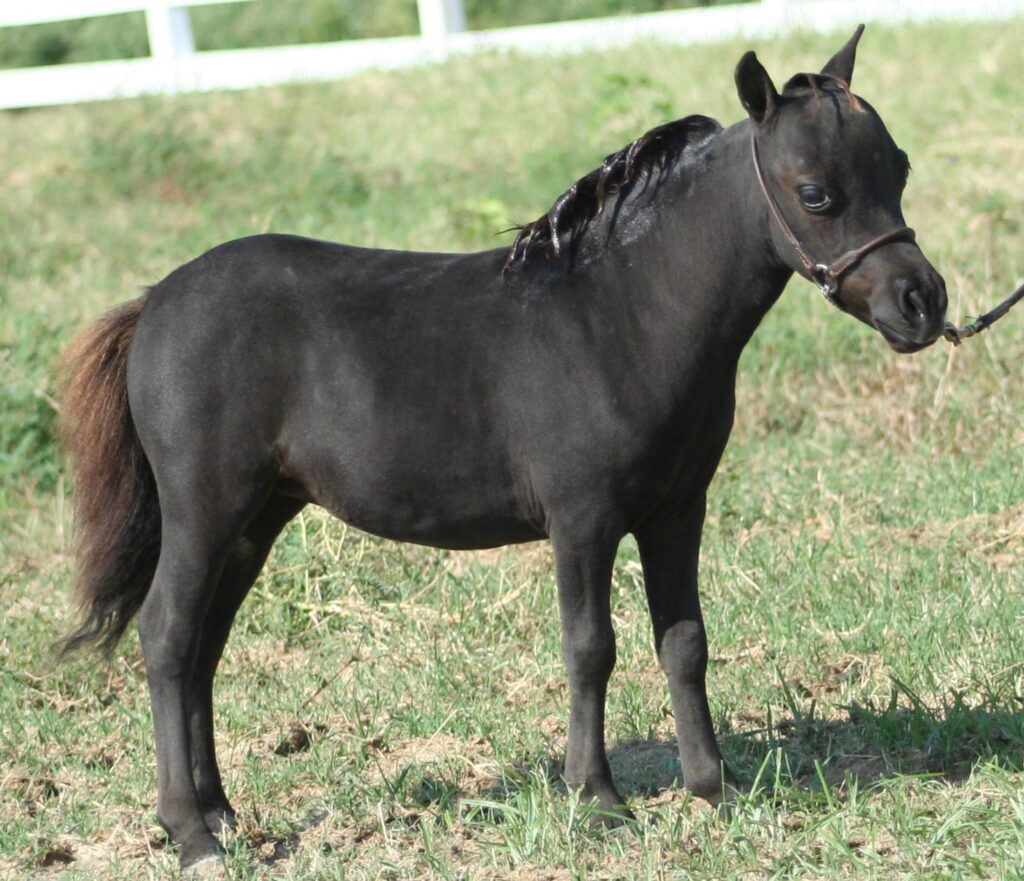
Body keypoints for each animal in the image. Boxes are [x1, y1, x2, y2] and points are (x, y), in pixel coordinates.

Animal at [59, 27, 947, 870]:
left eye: (900, 168)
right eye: (816, 192)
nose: (924, 303)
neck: (621, 313)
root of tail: (156, 301)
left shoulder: (676, 512)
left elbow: (685, 641)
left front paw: (713, 787)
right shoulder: (582, 521)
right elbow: (591, 649)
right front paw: (598, 799)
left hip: (256, 519)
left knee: (203, 648)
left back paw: (221, 814)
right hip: (205, 509)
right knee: (168, 636)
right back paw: (190, 833)